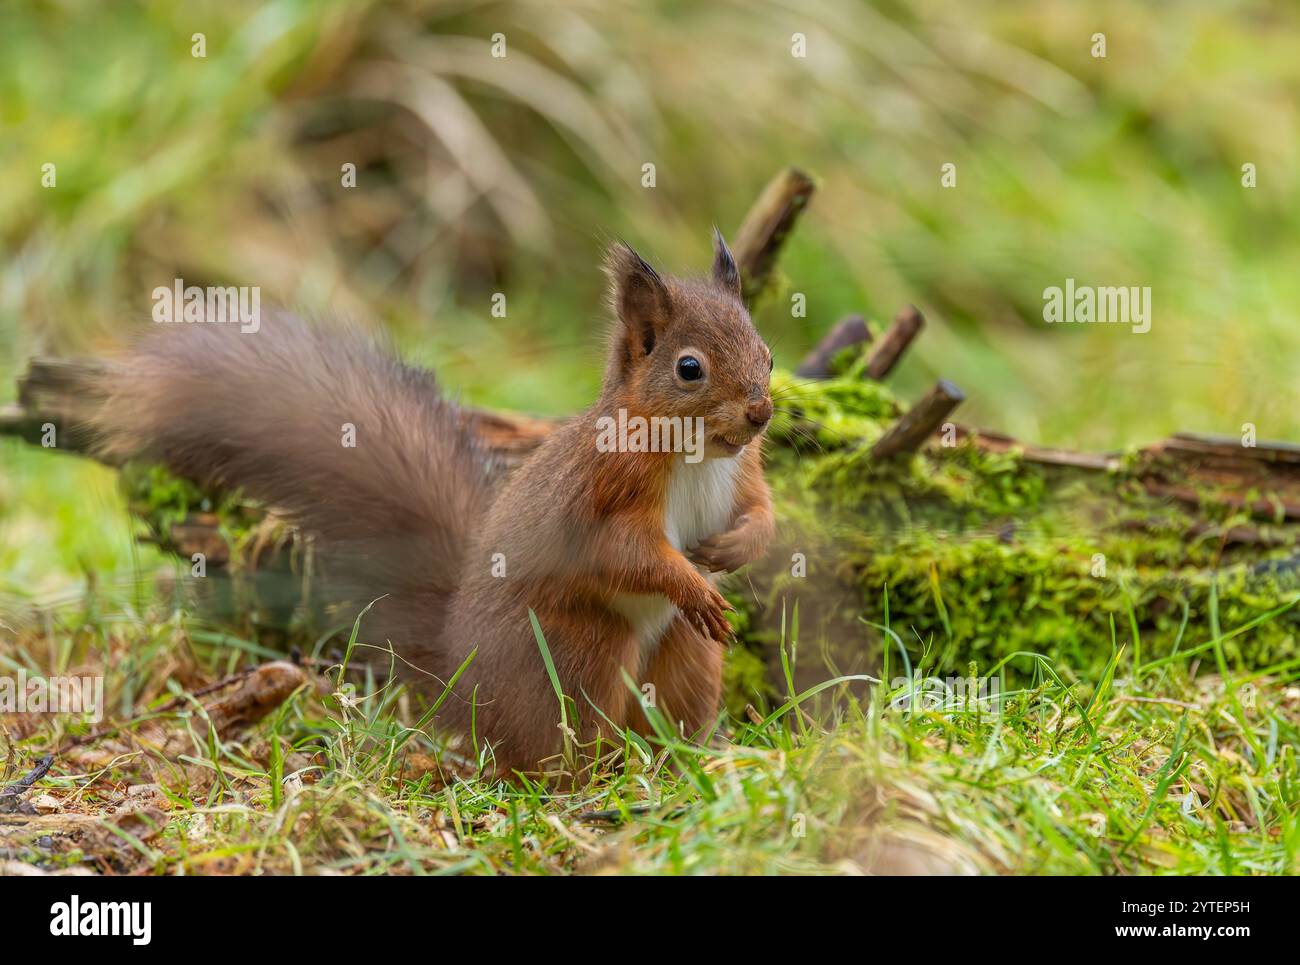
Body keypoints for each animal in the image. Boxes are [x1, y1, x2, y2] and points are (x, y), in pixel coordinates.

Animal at [91, 230, 775, 777]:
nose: (762, 413)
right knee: (554, 743)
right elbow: (625, 552)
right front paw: (693, 584)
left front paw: (736, 548)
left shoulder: (744, 473)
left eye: (767, 354)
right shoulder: (603, 492)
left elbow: (761, 510)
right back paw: (592, 780)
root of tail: (465, 680)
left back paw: (683, 763)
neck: (694, 452)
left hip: (686, 659)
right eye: (689, 368)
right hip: (580, 650)